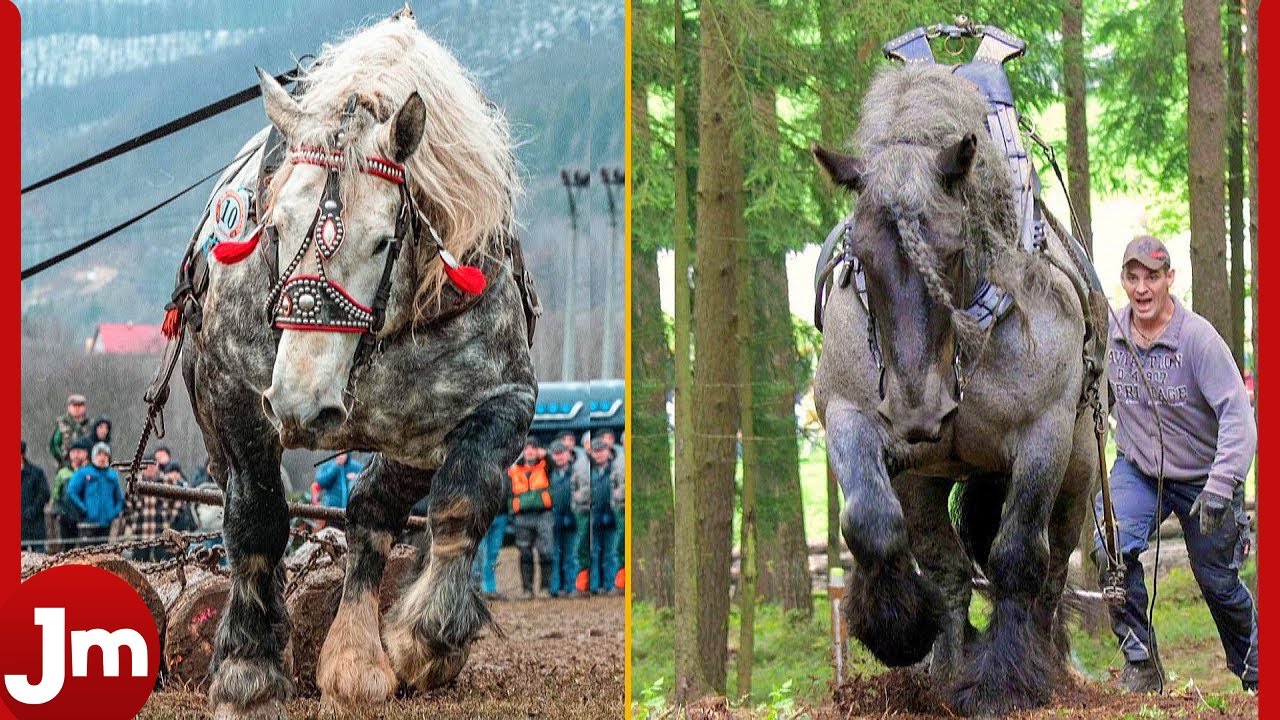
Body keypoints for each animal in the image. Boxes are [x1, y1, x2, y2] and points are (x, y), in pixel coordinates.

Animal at [173, 11, 537, 717]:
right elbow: (256, 520)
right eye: (276, 226)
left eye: (382, 240)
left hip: (409, 440)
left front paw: (427, 640)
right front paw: (247, 671)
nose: (300, 404)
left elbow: (464, 497)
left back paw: (356, 659)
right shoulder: (236, 397)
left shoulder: (505, 397)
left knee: (371, 512)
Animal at [810, 63, 1106, 715]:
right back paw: (945, 667)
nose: (918, 411)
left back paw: (1046, 662)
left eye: (950, 248)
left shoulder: (1044, 434)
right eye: (861, 253)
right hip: (927, 476)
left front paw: (1002, 681)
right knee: (945, 565)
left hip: (1077, 469)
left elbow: (1018, 557)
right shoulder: (848, 414)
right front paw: (898, 630)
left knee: (1052, 566)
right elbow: (871, 521)